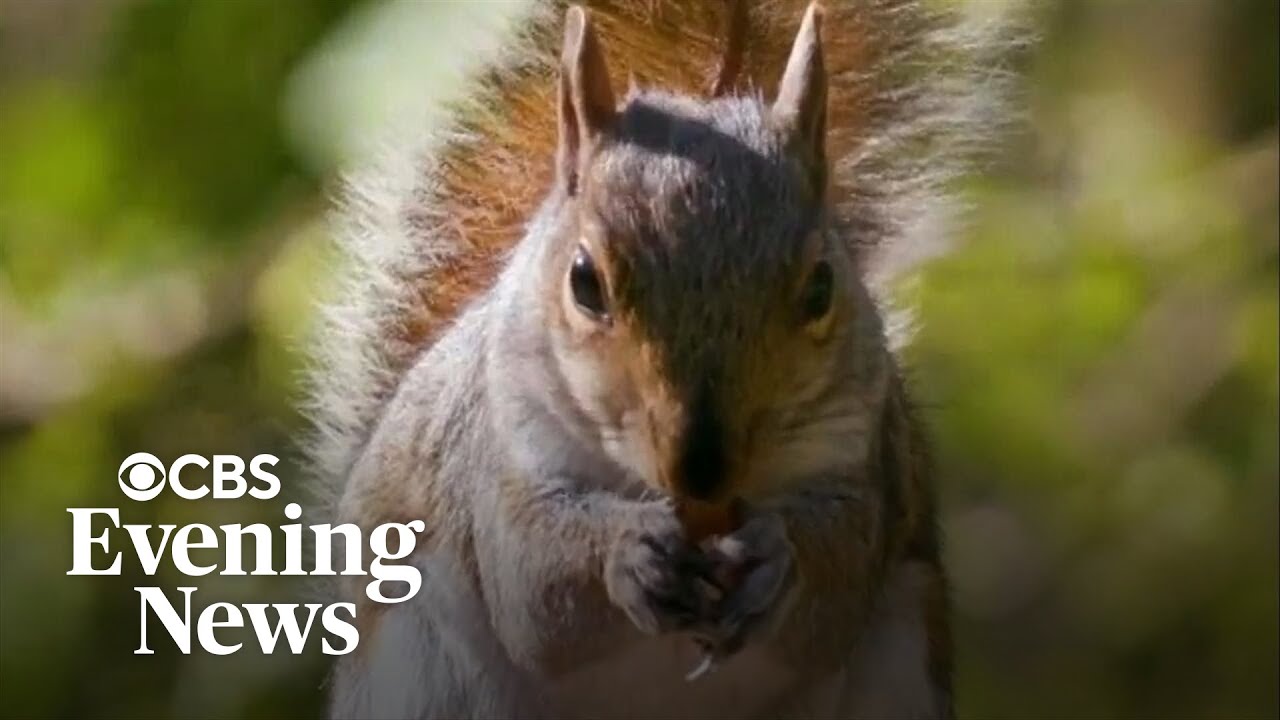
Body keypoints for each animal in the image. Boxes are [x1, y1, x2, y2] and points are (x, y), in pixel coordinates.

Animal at [302, 1, 1017, 718]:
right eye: (584, 282)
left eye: (821, 287)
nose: (701, 469)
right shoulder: (494, 451)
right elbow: (531, 587)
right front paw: (628, 552)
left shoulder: (867, 455)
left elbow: (838, 587)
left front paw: (775, 555)